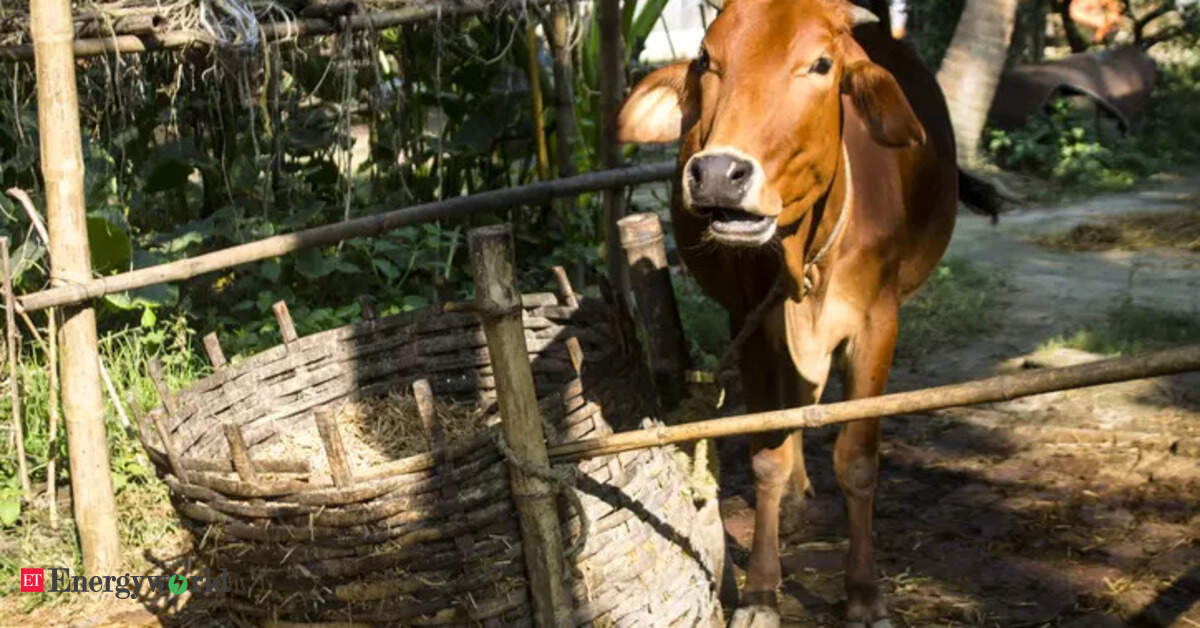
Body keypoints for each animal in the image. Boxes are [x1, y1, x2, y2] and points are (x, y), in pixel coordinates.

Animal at [617, 0, 999, 626]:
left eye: (821, 64)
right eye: (705, 60)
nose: (718, 174)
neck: (807, 253)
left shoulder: (877, 326)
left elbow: (858, 461)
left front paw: (864, 594)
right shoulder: (748, 324)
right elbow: (765, 456)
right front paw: (761, 592)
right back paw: (795, 500)